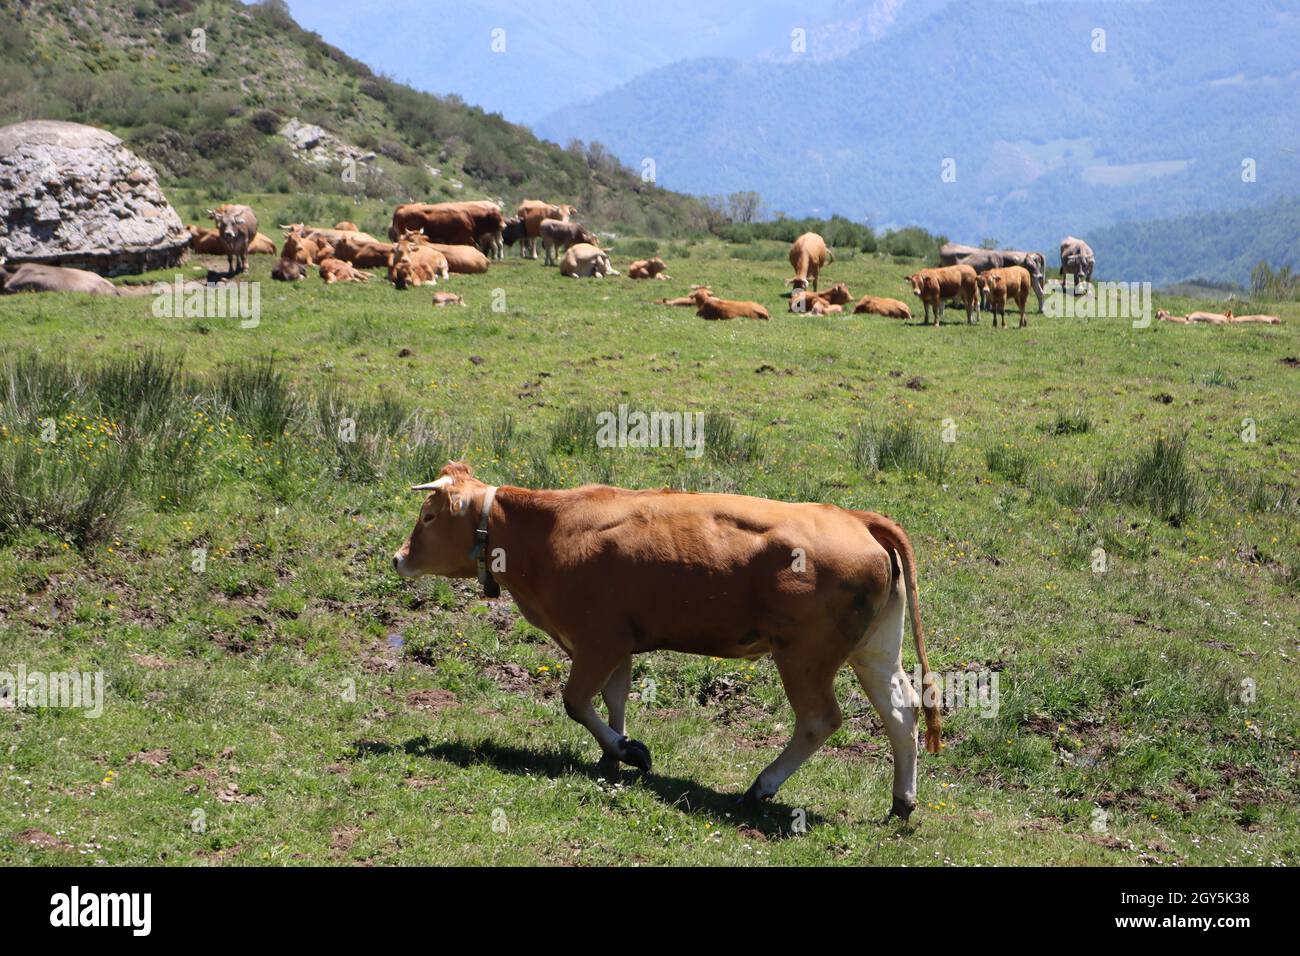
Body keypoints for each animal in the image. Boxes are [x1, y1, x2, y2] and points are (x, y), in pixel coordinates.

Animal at [393, 461, 942, 816]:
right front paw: (614, 754)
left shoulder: (596, 641)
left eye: (428, 516)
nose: (398, 558)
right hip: (875, 649)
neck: (548, 531)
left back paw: (762, 787)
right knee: (900, 710)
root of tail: (857, 519)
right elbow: (613, 698)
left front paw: (628, 750)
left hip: (805, 656)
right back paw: (902, 801)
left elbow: (576, 701)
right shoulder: (617, 645)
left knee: (820, 720)